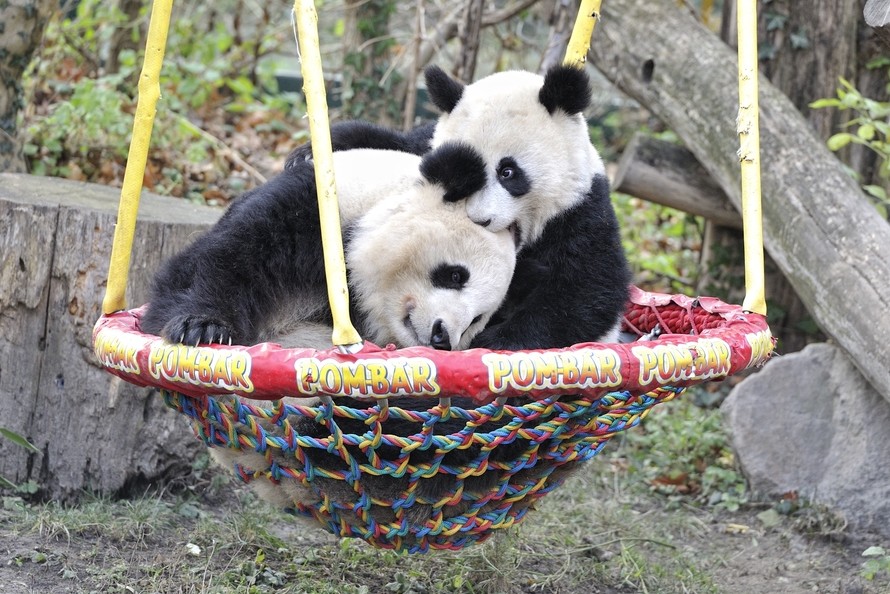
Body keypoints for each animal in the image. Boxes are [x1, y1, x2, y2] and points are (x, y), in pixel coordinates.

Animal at [140, 144, 517, 351]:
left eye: (477, 319)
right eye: (455, 275)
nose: (442, 336)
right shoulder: (313, 208)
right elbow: (229, 260)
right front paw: (203, 327)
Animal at [287, 65, 632, 351]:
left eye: (508, 172)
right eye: (465, 166)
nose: (480, 218)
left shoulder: (582, 214)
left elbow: (585, 296)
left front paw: (495, 342)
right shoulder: (422, 146)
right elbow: (393, 143)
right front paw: (307, 154)